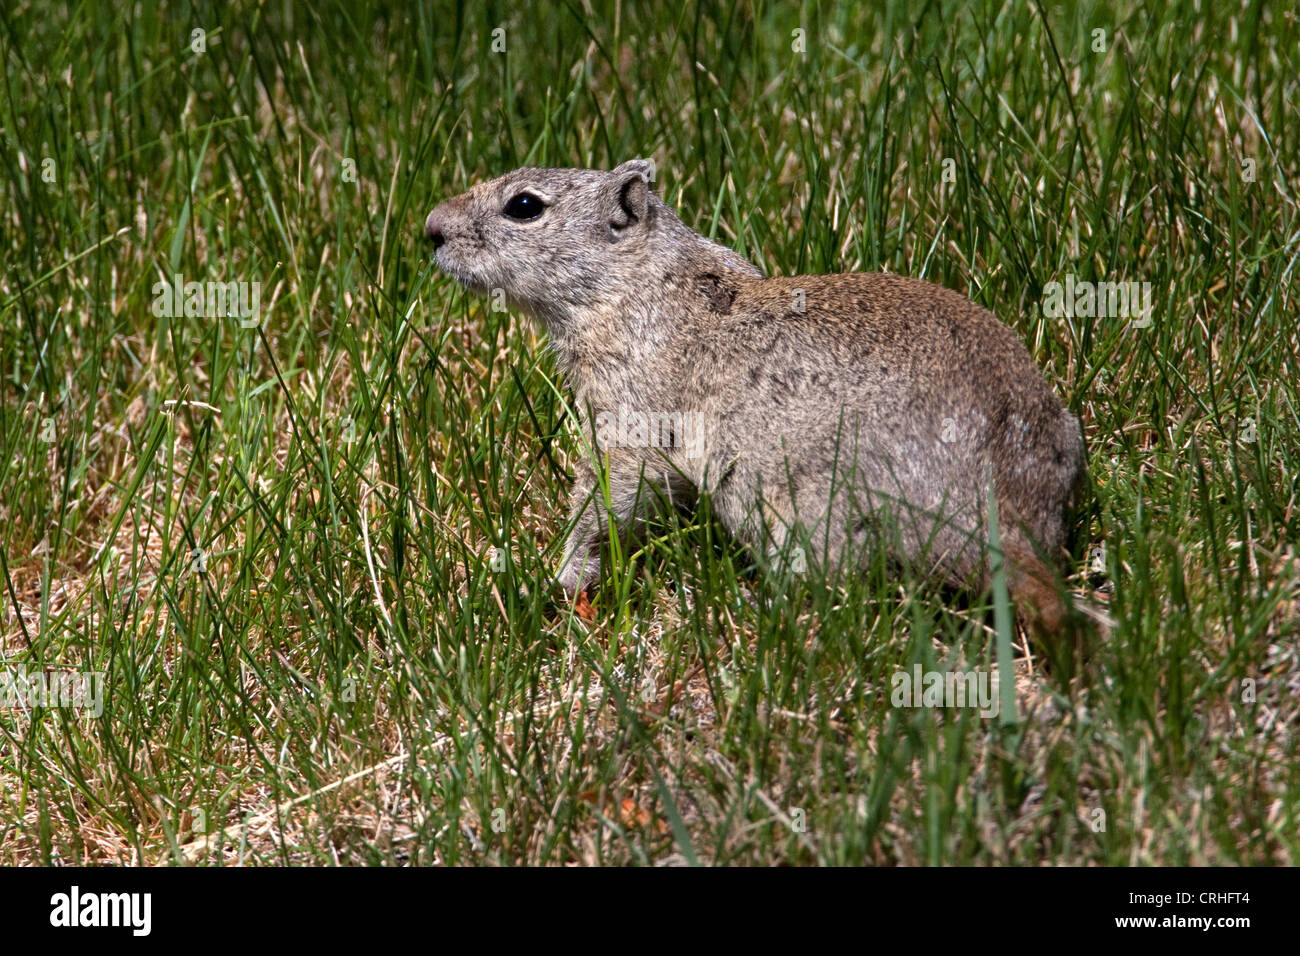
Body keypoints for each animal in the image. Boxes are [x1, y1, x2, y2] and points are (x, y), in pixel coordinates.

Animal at [425, 159, 1086, 635]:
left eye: (524, 206)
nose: (430, 228)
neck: (641, 282)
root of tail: (1006, 525)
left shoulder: (629, 417)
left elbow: (610, 496)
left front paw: (557, 576)